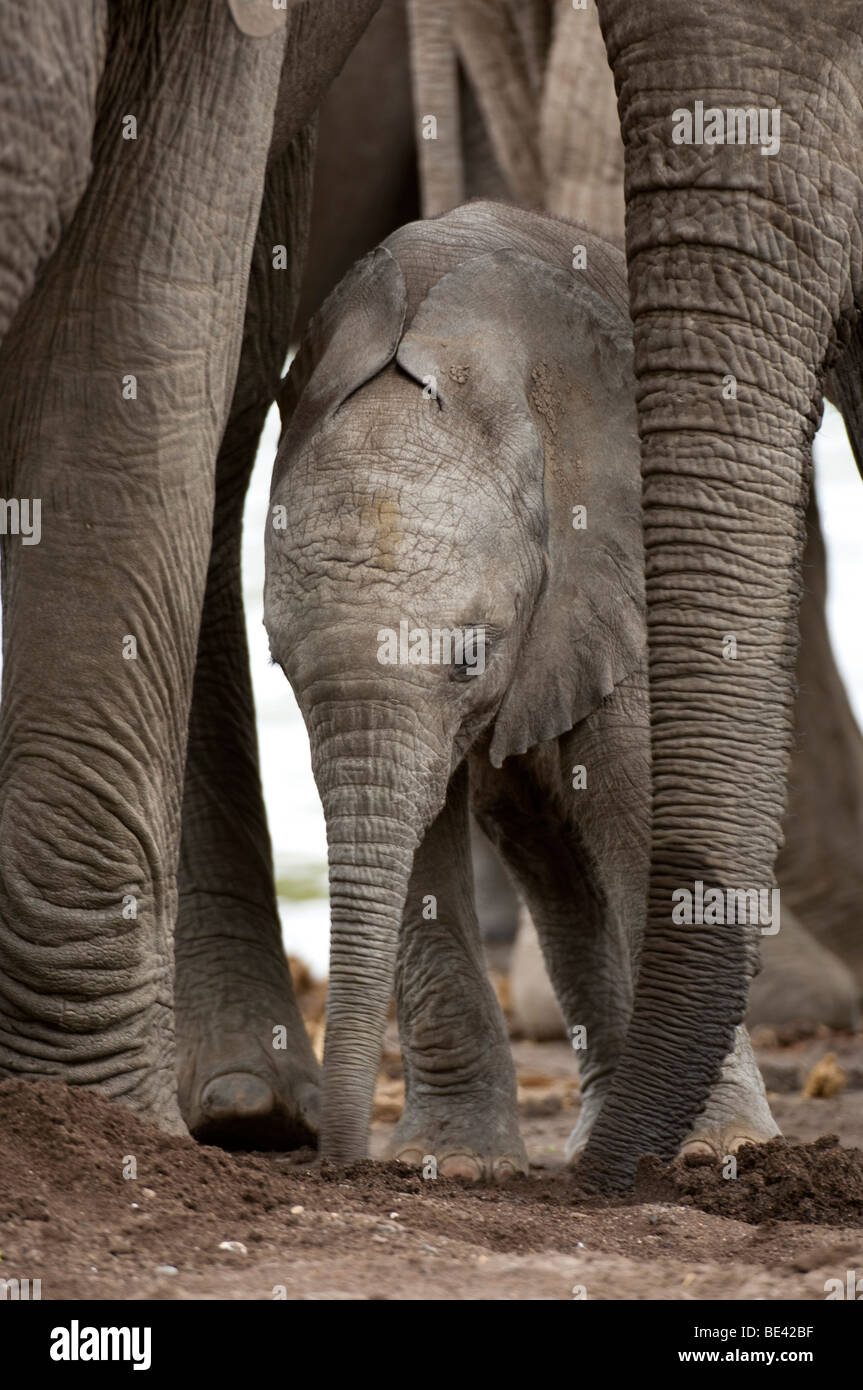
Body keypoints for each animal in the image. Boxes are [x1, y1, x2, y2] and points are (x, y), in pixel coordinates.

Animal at [264, 199, 778, 1169]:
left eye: (471, 654)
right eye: (280, 663)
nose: (335, 1161)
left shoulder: (612, 553)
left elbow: (632, 795)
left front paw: (713, 1152)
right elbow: (421, 839)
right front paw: (449, 1164)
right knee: (537, 838)